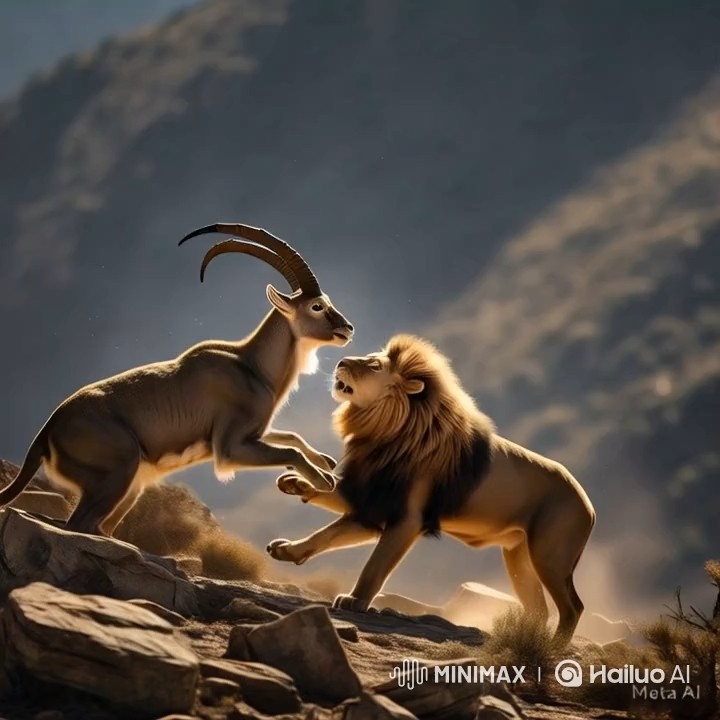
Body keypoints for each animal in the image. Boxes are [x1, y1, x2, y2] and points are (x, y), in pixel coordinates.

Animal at [267, 334, 596, 645]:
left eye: (374, 366)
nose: (341, 361)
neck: (383, 430)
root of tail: (587, 504)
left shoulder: (406, 519)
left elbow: (375, 566)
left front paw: (355, 601)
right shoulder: (370, 505)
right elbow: (325, 534)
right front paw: (292, 507)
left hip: (550, 556)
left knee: (572, 608)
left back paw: (553, 647)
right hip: (518, 555)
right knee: (539, 610)